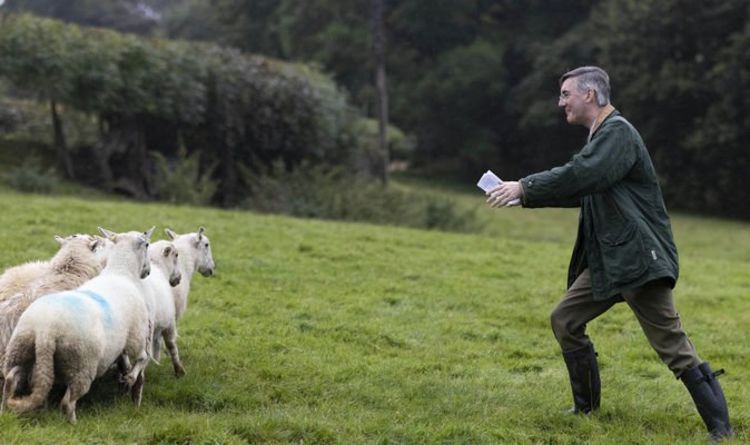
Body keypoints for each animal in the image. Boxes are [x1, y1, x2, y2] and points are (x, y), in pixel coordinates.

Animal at [2, 227, 156, 422]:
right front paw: (129, 378)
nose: (148, 272)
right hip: (80, 367)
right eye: (147, 245)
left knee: (13, 383)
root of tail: (45, 332)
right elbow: (140, 358)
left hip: (19, 353)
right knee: (66, 400)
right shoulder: (134, 335)